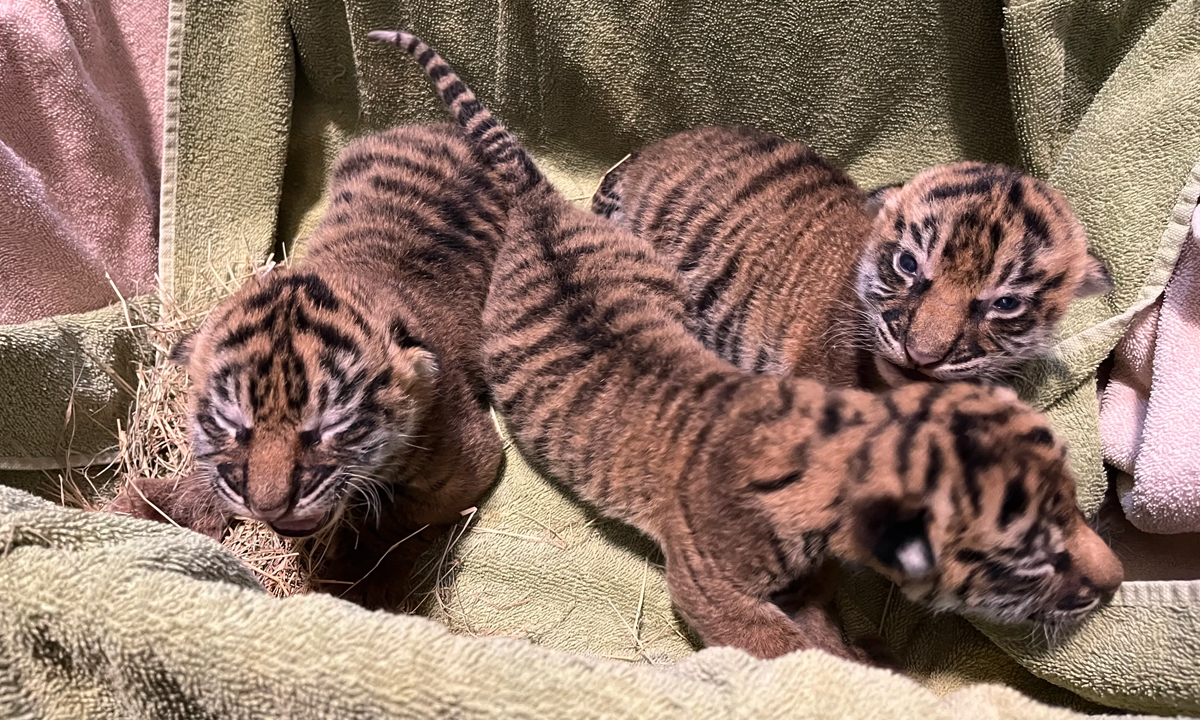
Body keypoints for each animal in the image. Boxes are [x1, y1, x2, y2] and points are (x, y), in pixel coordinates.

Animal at [107, 123, 506, 606]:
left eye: (327, 428)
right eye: (233, 424)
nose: (268, 507)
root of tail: (440, 127)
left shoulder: (470, 465)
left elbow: (396, 518)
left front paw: (359, 582)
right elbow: (213, 471)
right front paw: (159, 512)